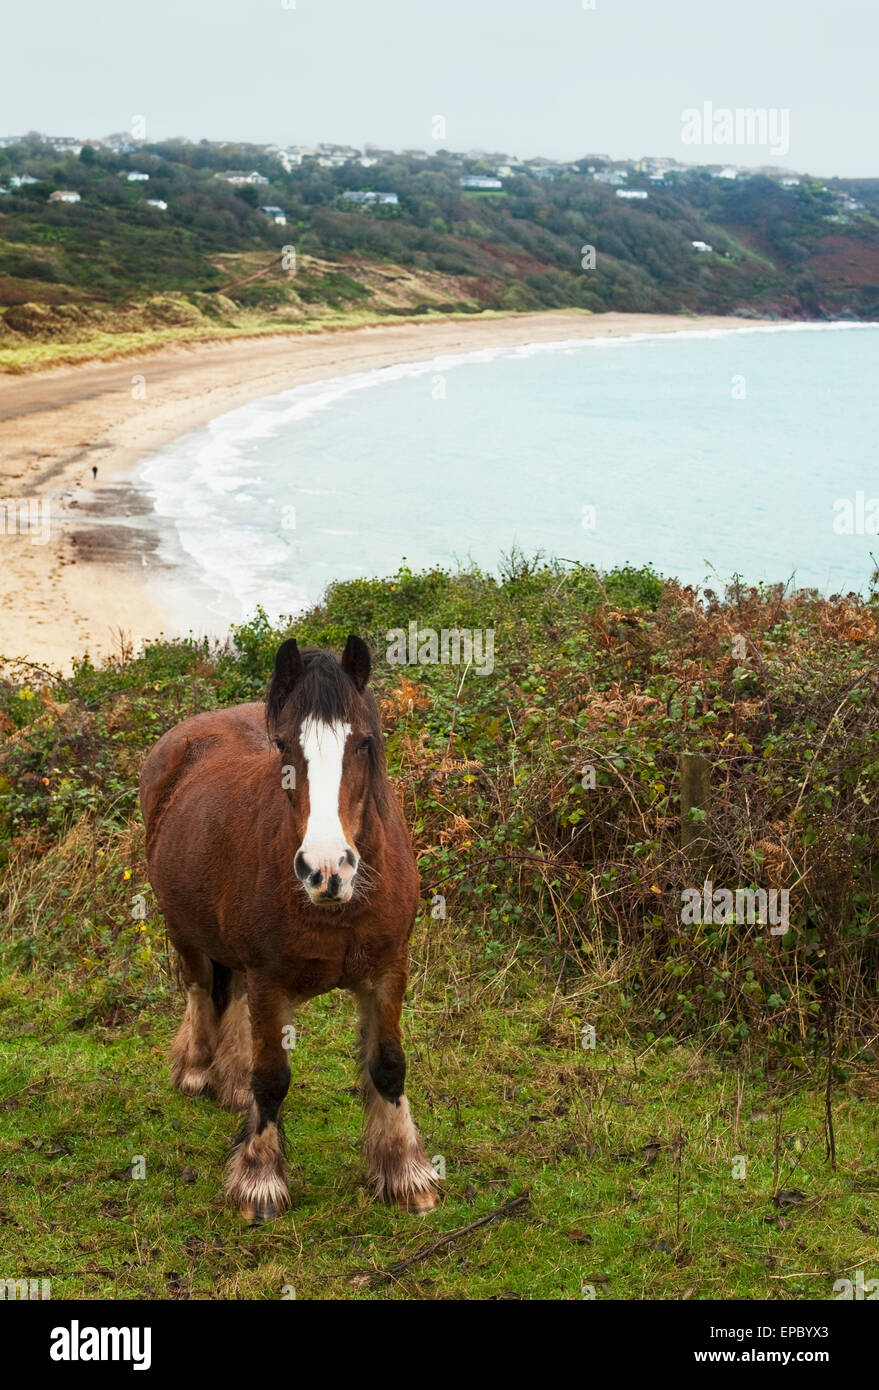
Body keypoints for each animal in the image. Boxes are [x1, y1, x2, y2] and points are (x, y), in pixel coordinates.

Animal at [139, 634, 440, 1222]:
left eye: (363, 743)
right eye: (282, 746)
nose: (326, 869)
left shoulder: (389, 967)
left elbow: (389, 1065)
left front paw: (404, 1174)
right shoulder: (270, 981)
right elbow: (273, 1077)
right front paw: (259, 1180)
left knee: (227, 992)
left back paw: (231, 1083)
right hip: (183, 929)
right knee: (199, 989)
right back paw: (197, 1070)